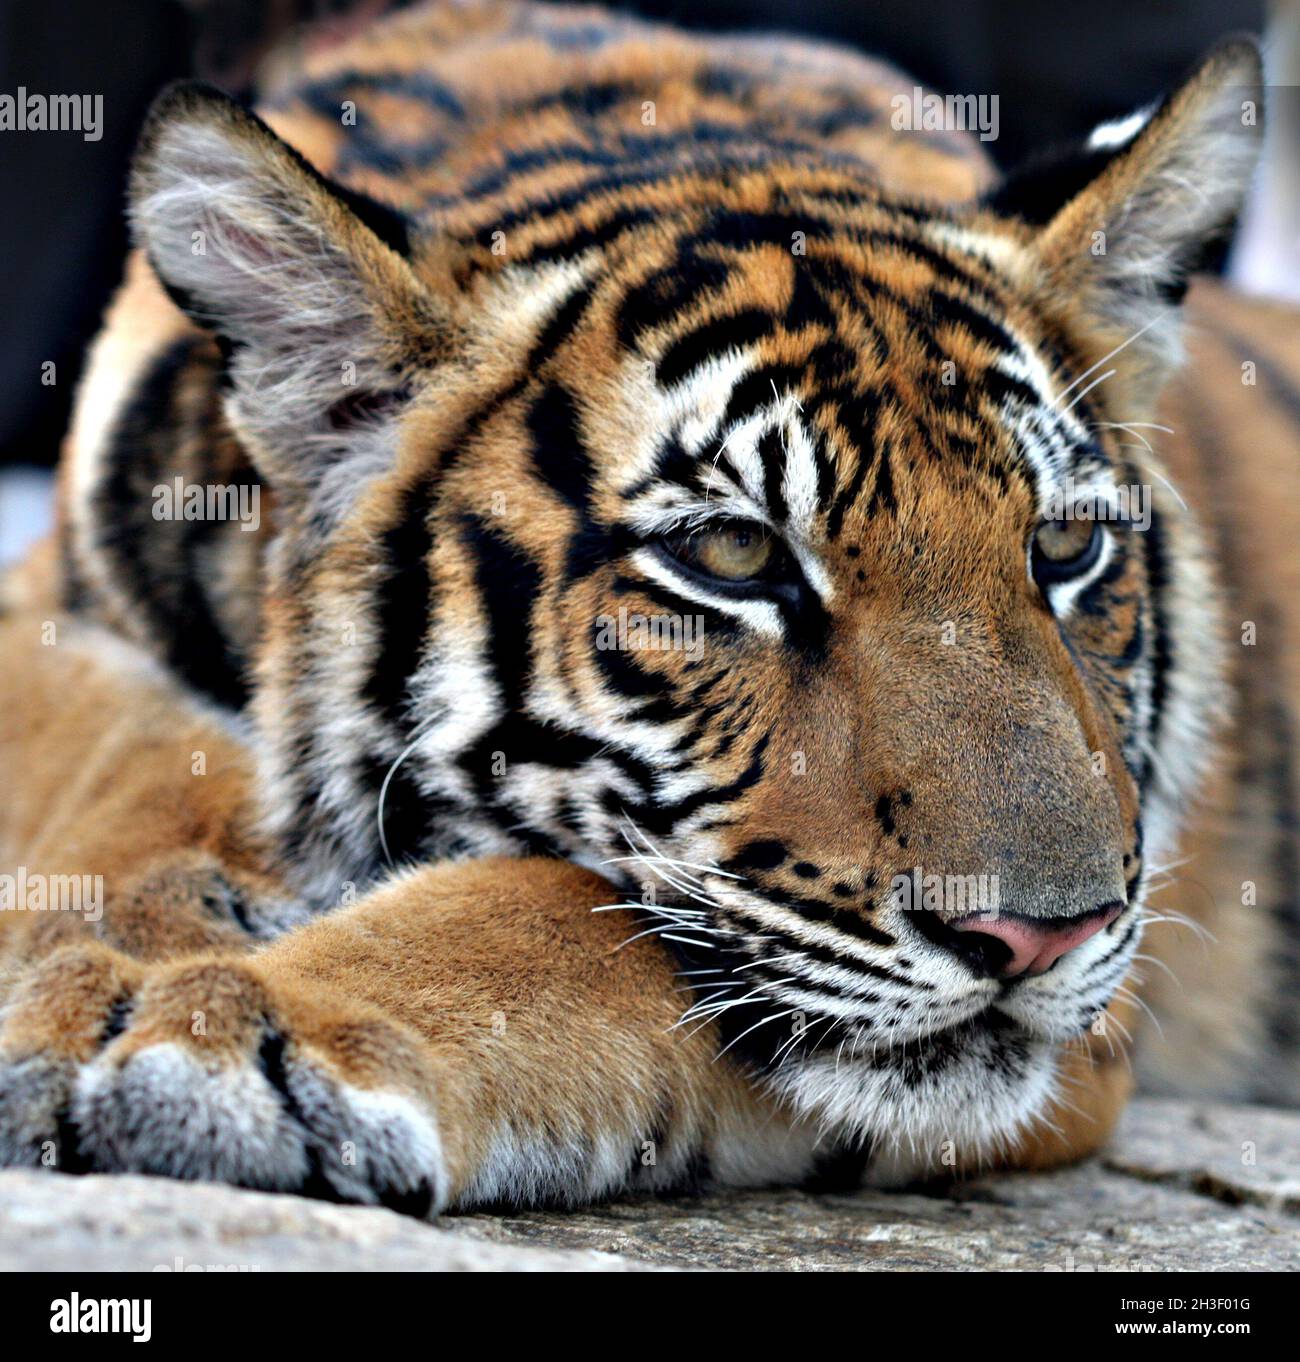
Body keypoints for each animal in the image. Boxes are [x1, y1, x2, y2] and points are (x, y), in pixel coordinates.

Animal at [0, 0, 1294, 1217]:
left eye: (1065, 544)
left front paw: (228, 1019)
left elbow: (567, 919)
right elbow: (119, 754)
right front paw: (121, 941)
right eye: (731, 552)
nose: (1044, 936)